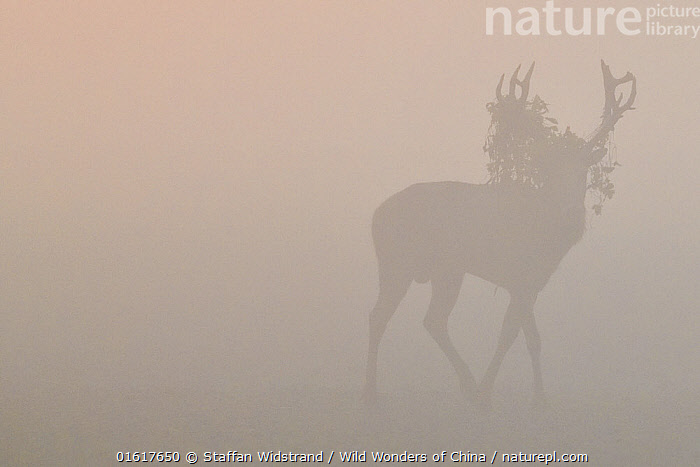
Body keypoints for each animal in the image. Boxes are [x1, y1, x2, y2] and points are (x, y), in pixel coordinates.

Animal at [363, 61, 636, 409]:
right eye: (552, 170)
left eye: (582, 171)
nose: (572, 214)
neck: (543, 233)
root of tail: (376, 215)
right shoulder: (519, 277)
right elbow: (509, 335)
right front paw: (488, 392)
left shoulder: (531, 282)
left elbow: (532, 338)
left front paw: (538, 397)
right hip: (397, 262)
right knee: (380, 316)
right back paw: (372, 391)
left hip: (446, 271)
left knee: (432, 320)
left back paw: (464, 384)